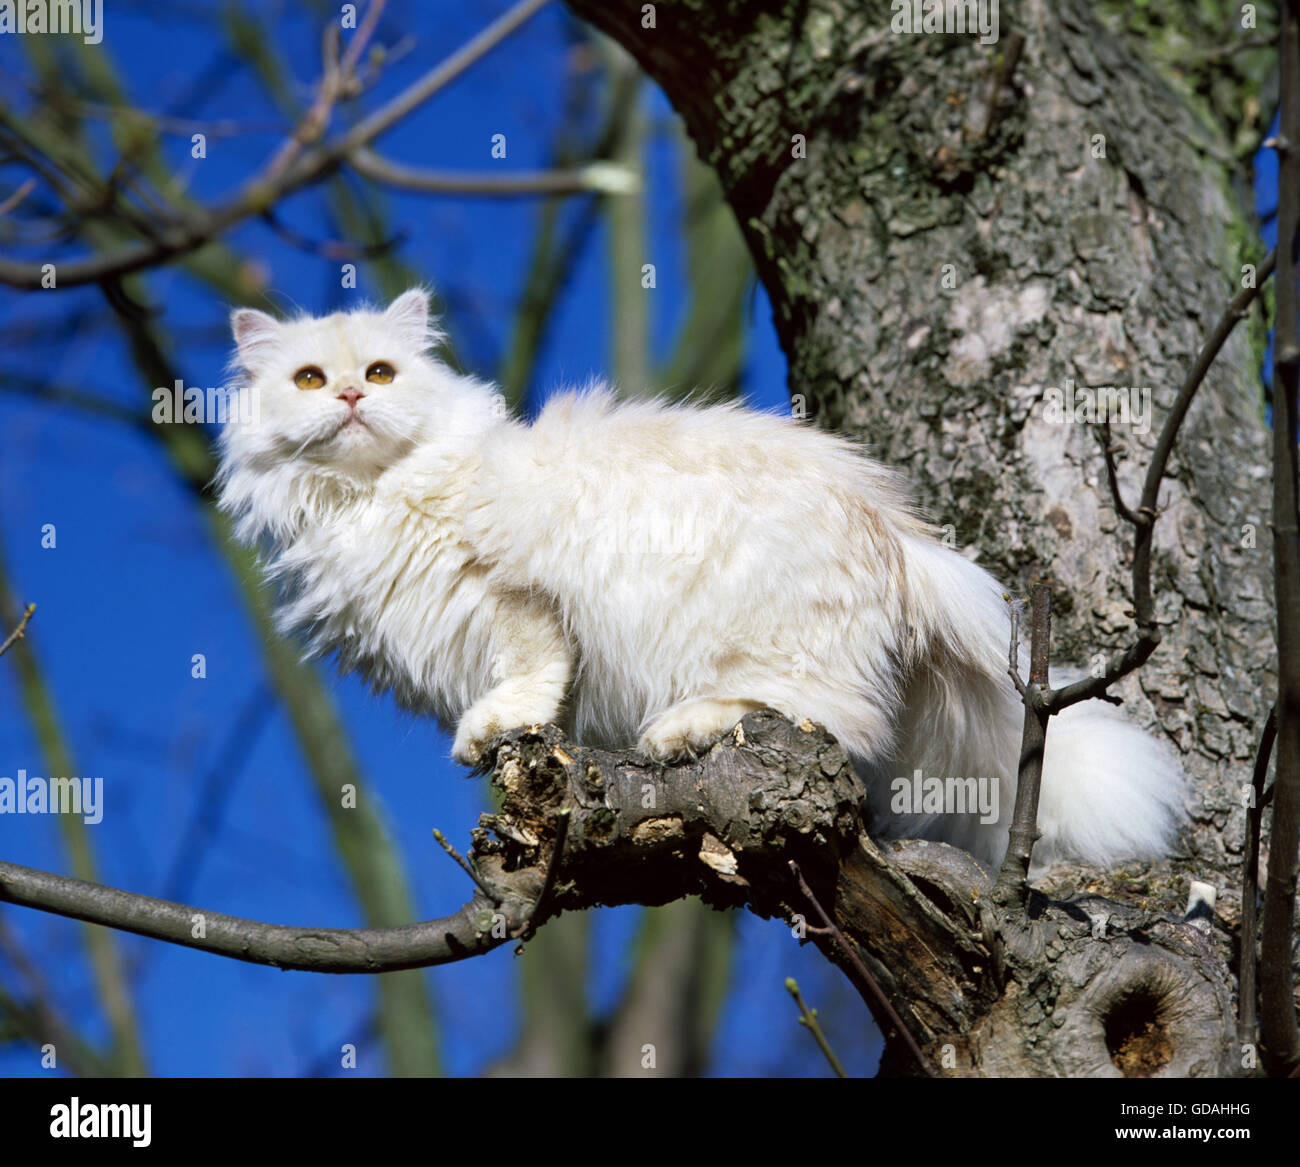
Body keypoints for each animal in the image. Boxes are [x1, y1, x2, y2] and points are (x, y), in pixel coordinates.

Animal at [218, 288, 1185, 873]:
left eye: (381, 372)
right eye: (311, 377)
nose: (349, 398)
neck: (372, 496)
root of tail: (900, 537)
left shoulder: (516, 588)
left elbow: (531, 668)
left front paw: (501, 721)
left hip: (769, 633)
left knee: (829, 713)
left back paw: (681, 729)